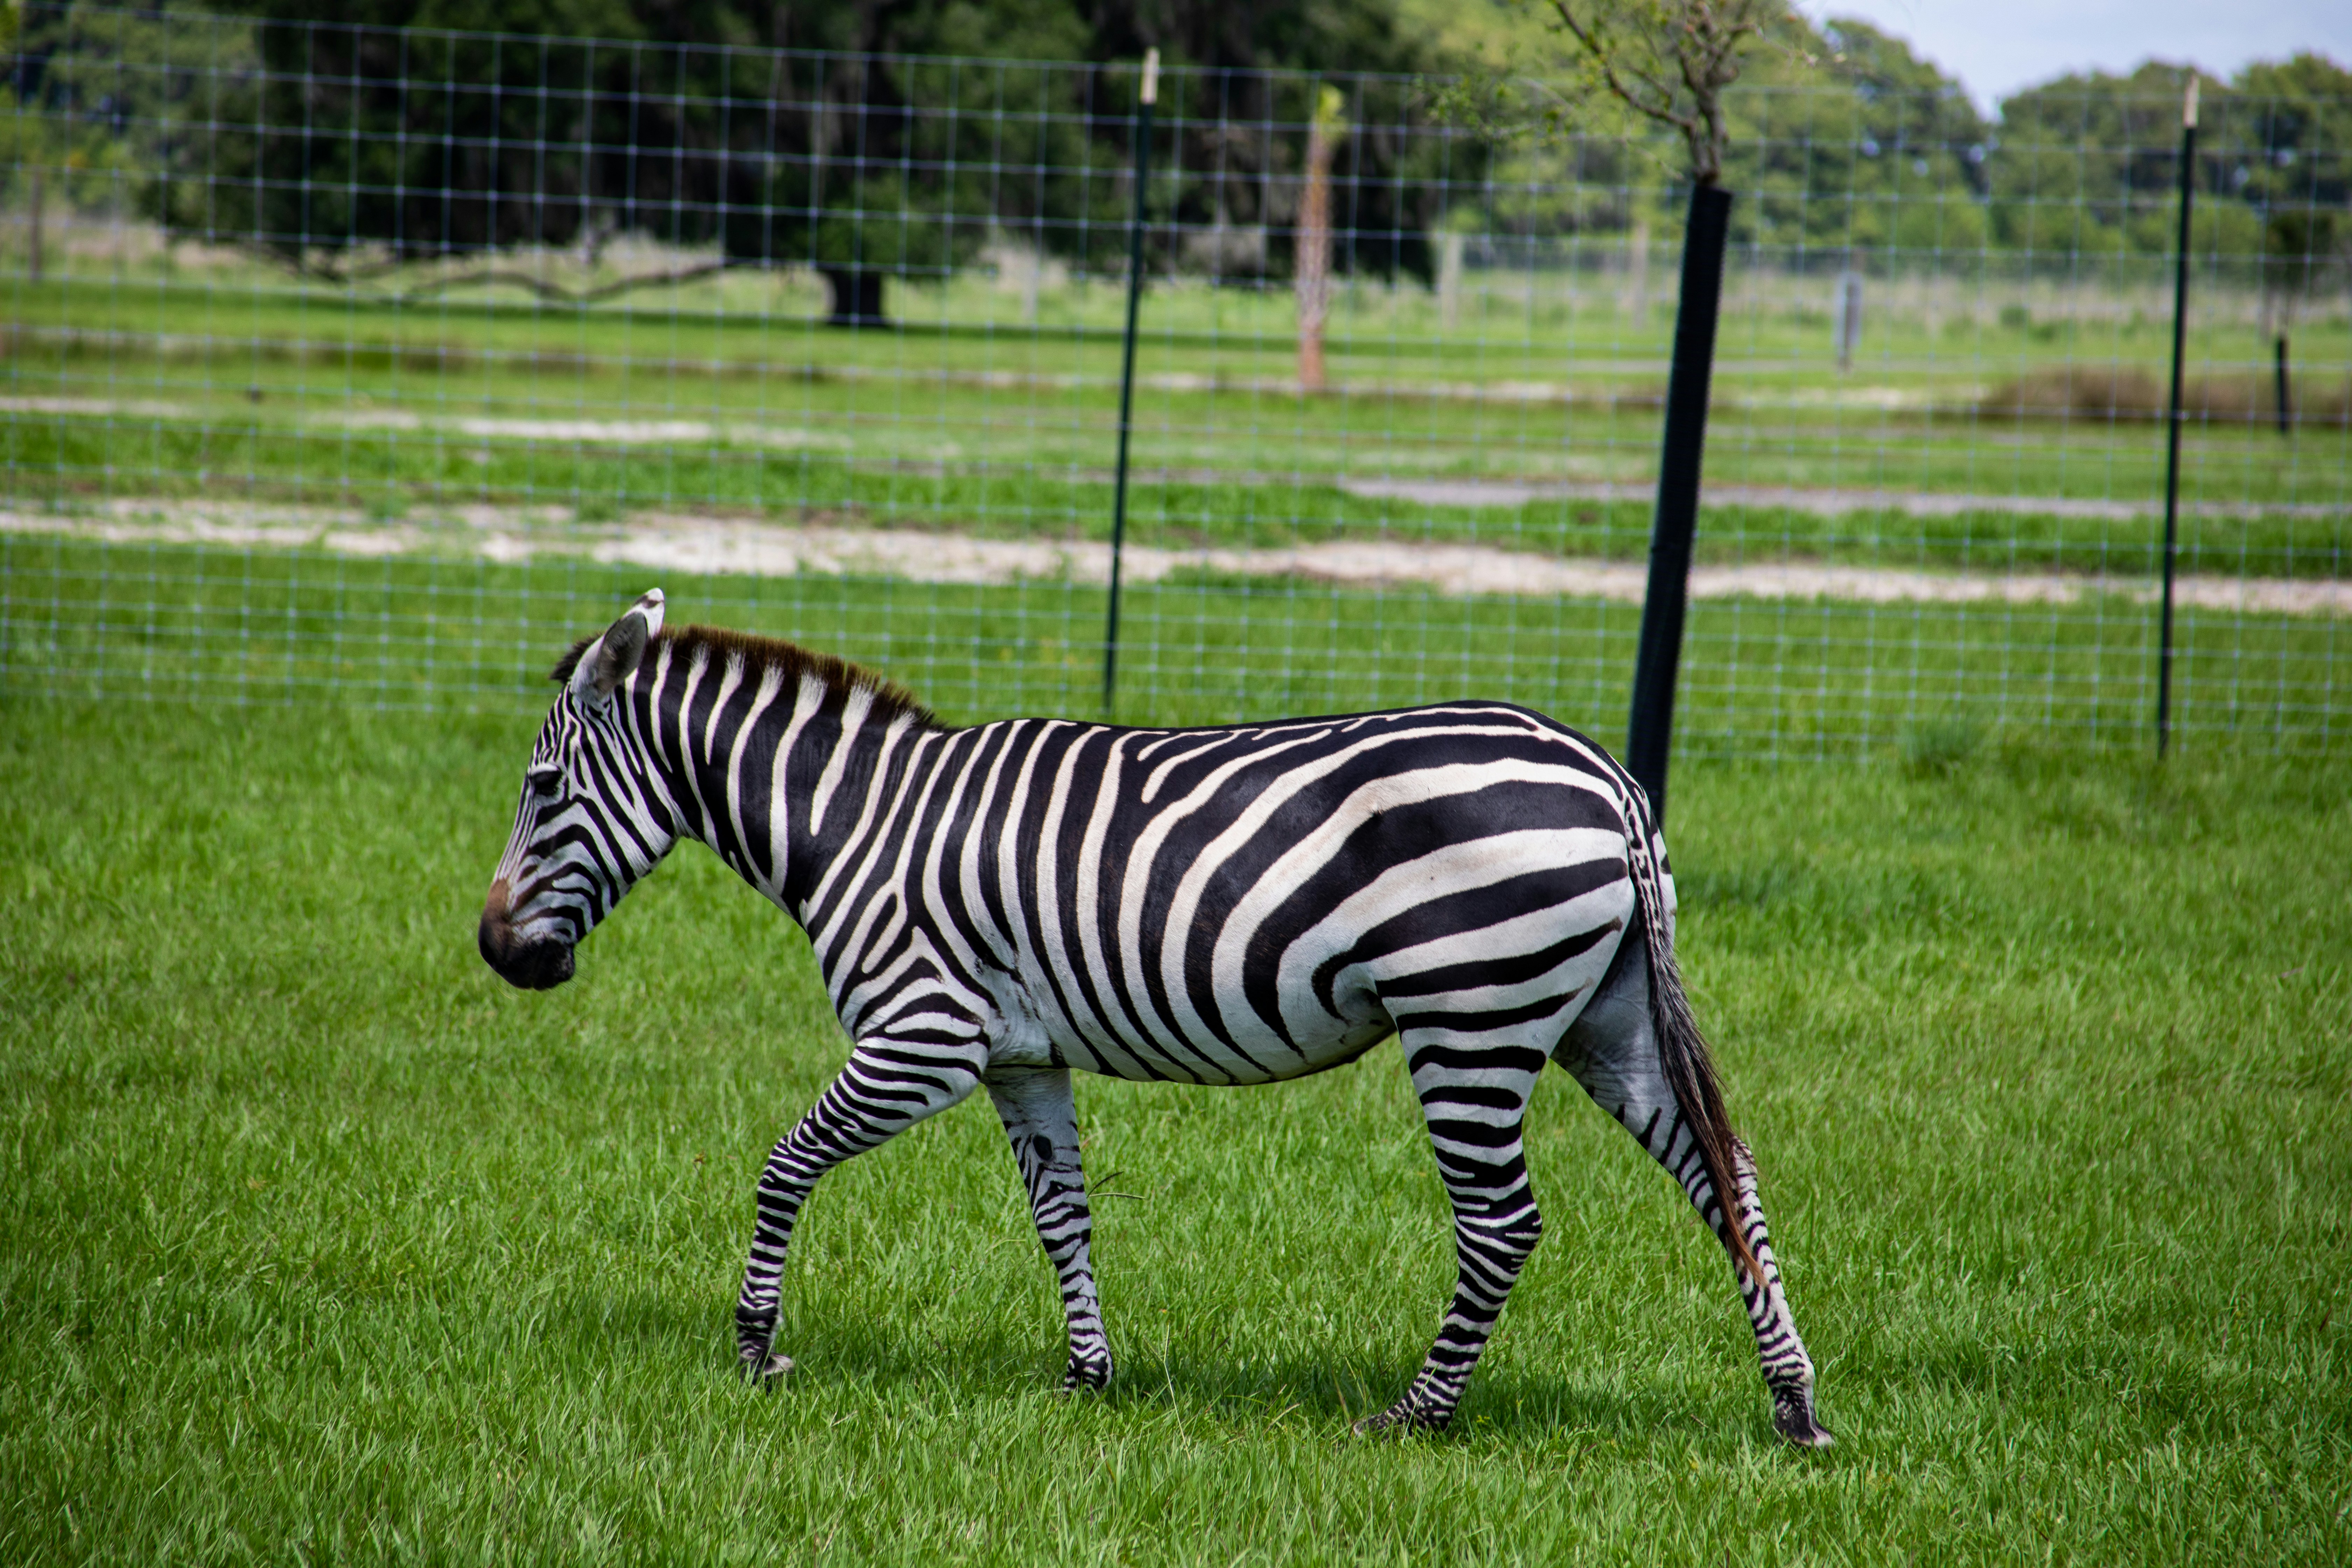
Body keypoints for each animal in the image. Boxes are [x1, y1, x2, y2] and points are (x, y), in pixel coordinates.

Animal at [478, 588, 1832, 1444]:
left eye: (541, 789)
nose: (497, 953)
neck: (859, 823)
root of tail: (1607, 775)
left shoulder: (923, 1036)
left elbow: (783, 1165)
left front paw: (758, 1347)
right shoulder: (1019, 1055)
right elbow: (1060, 1213)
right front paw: (1089, 1376)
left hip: (1470, 1019)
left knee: (1505, 1223)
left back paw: (1415, 1416)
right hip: (1602, 1017)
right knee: (1729, 1179)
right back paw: (1795, 1409)